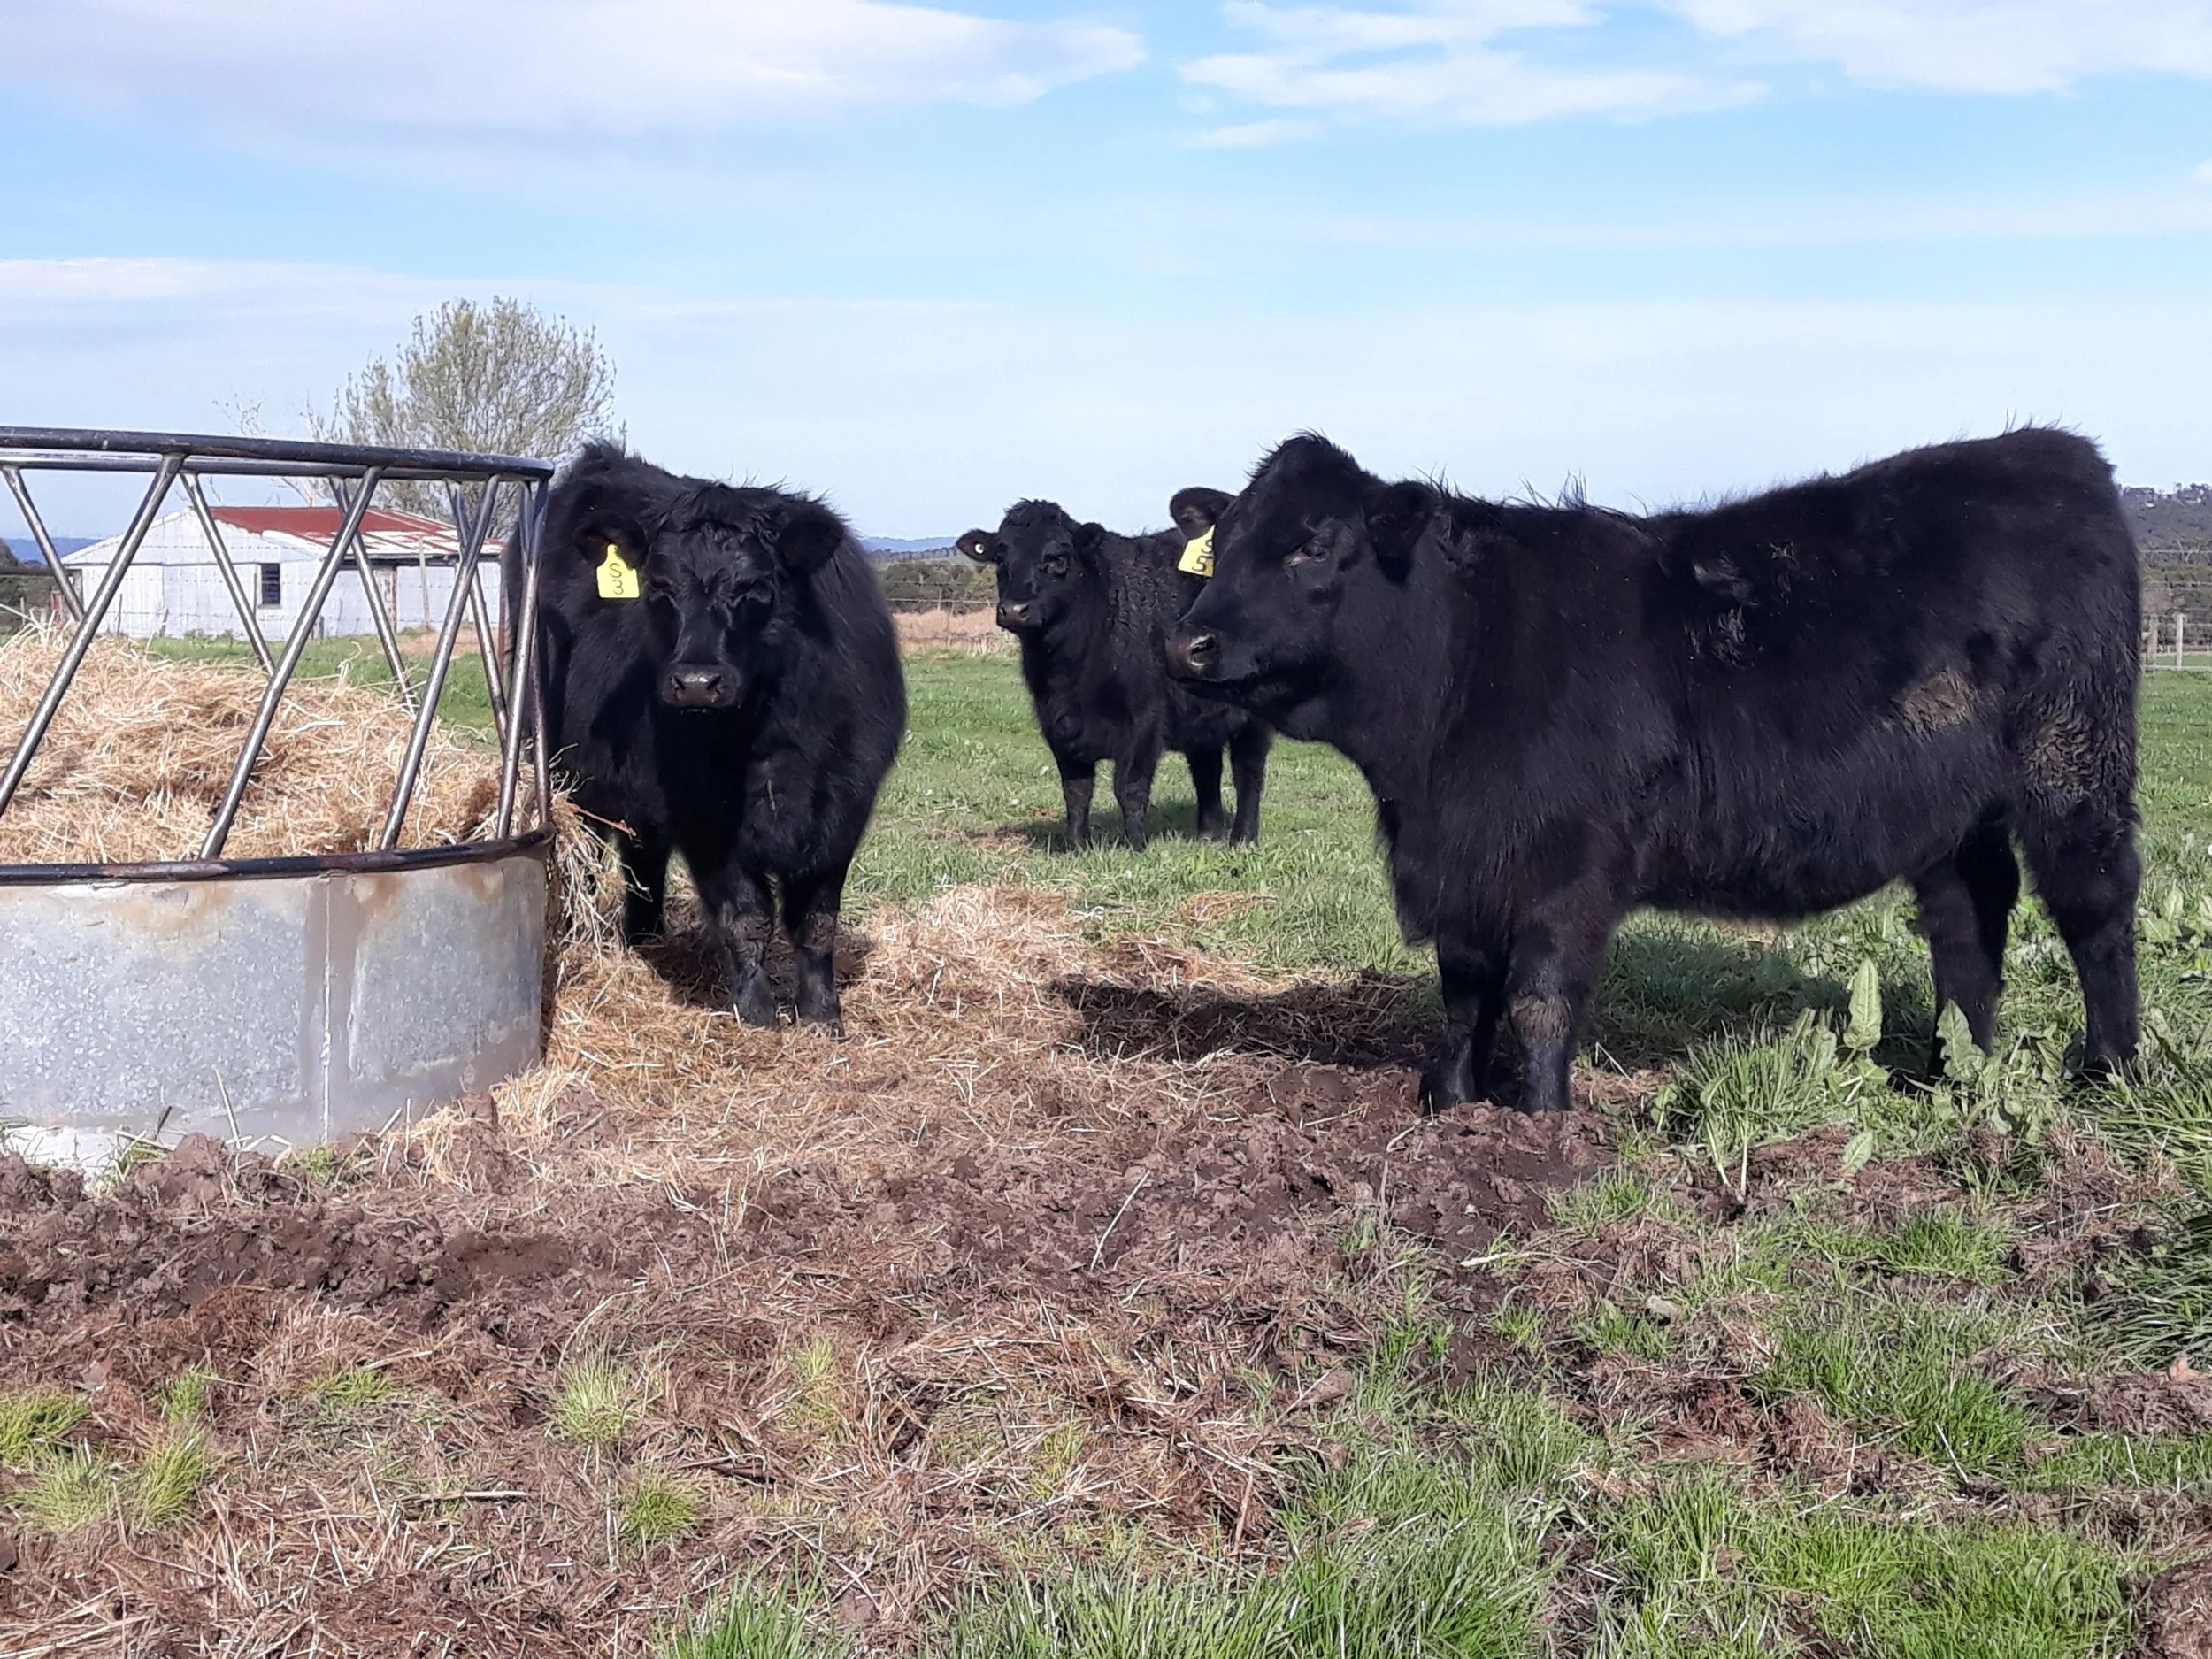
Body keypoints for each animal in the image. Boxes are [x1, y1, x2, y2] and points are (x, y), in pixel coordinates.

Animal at [533, 444, 906, 1032]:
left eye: (755, 586)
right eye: (659, 586)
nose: (696, 682)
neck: (768, 735)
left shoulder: (845, 804)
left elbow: (817, 922)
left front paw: (823, 1017)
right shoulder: (703, 812)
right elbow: (745, 919)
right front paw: (757, 1016)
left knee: (642, 856)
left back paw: (646, 936)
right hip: (568, 772)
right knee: (585, 858)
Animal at [957, 498, 1271, 849]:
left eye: (1058, 558)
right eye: (1000, 557)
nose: (1014, 610)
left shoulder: (1145, 721)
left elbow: (1130, 787)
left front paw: (1135, 845)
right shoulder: (1057, 723)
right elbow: (1076, 790)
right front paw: (1077, 845)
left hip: (1254, 715)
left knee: (1248, 771)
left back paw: (1243, 838)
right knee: (1206, 767)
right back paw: (1208, 834)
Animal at [1165, 430, 2140, 1115]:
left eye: (1311, 545)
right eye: (1224, 541)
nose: (1188, 643)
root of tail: (2056, 451)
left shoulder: (1566, 865)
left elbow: (1539, 998)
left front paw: (1541, 1119)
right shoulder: (1464, 862)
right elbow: (1463, 992)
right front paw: (1450, 1104)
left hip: (2074, 764)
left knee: (2094, 905)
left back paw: (2113, 1070)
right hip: (1951, 807)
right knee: (1967, 917)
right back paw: (1952, 1074)